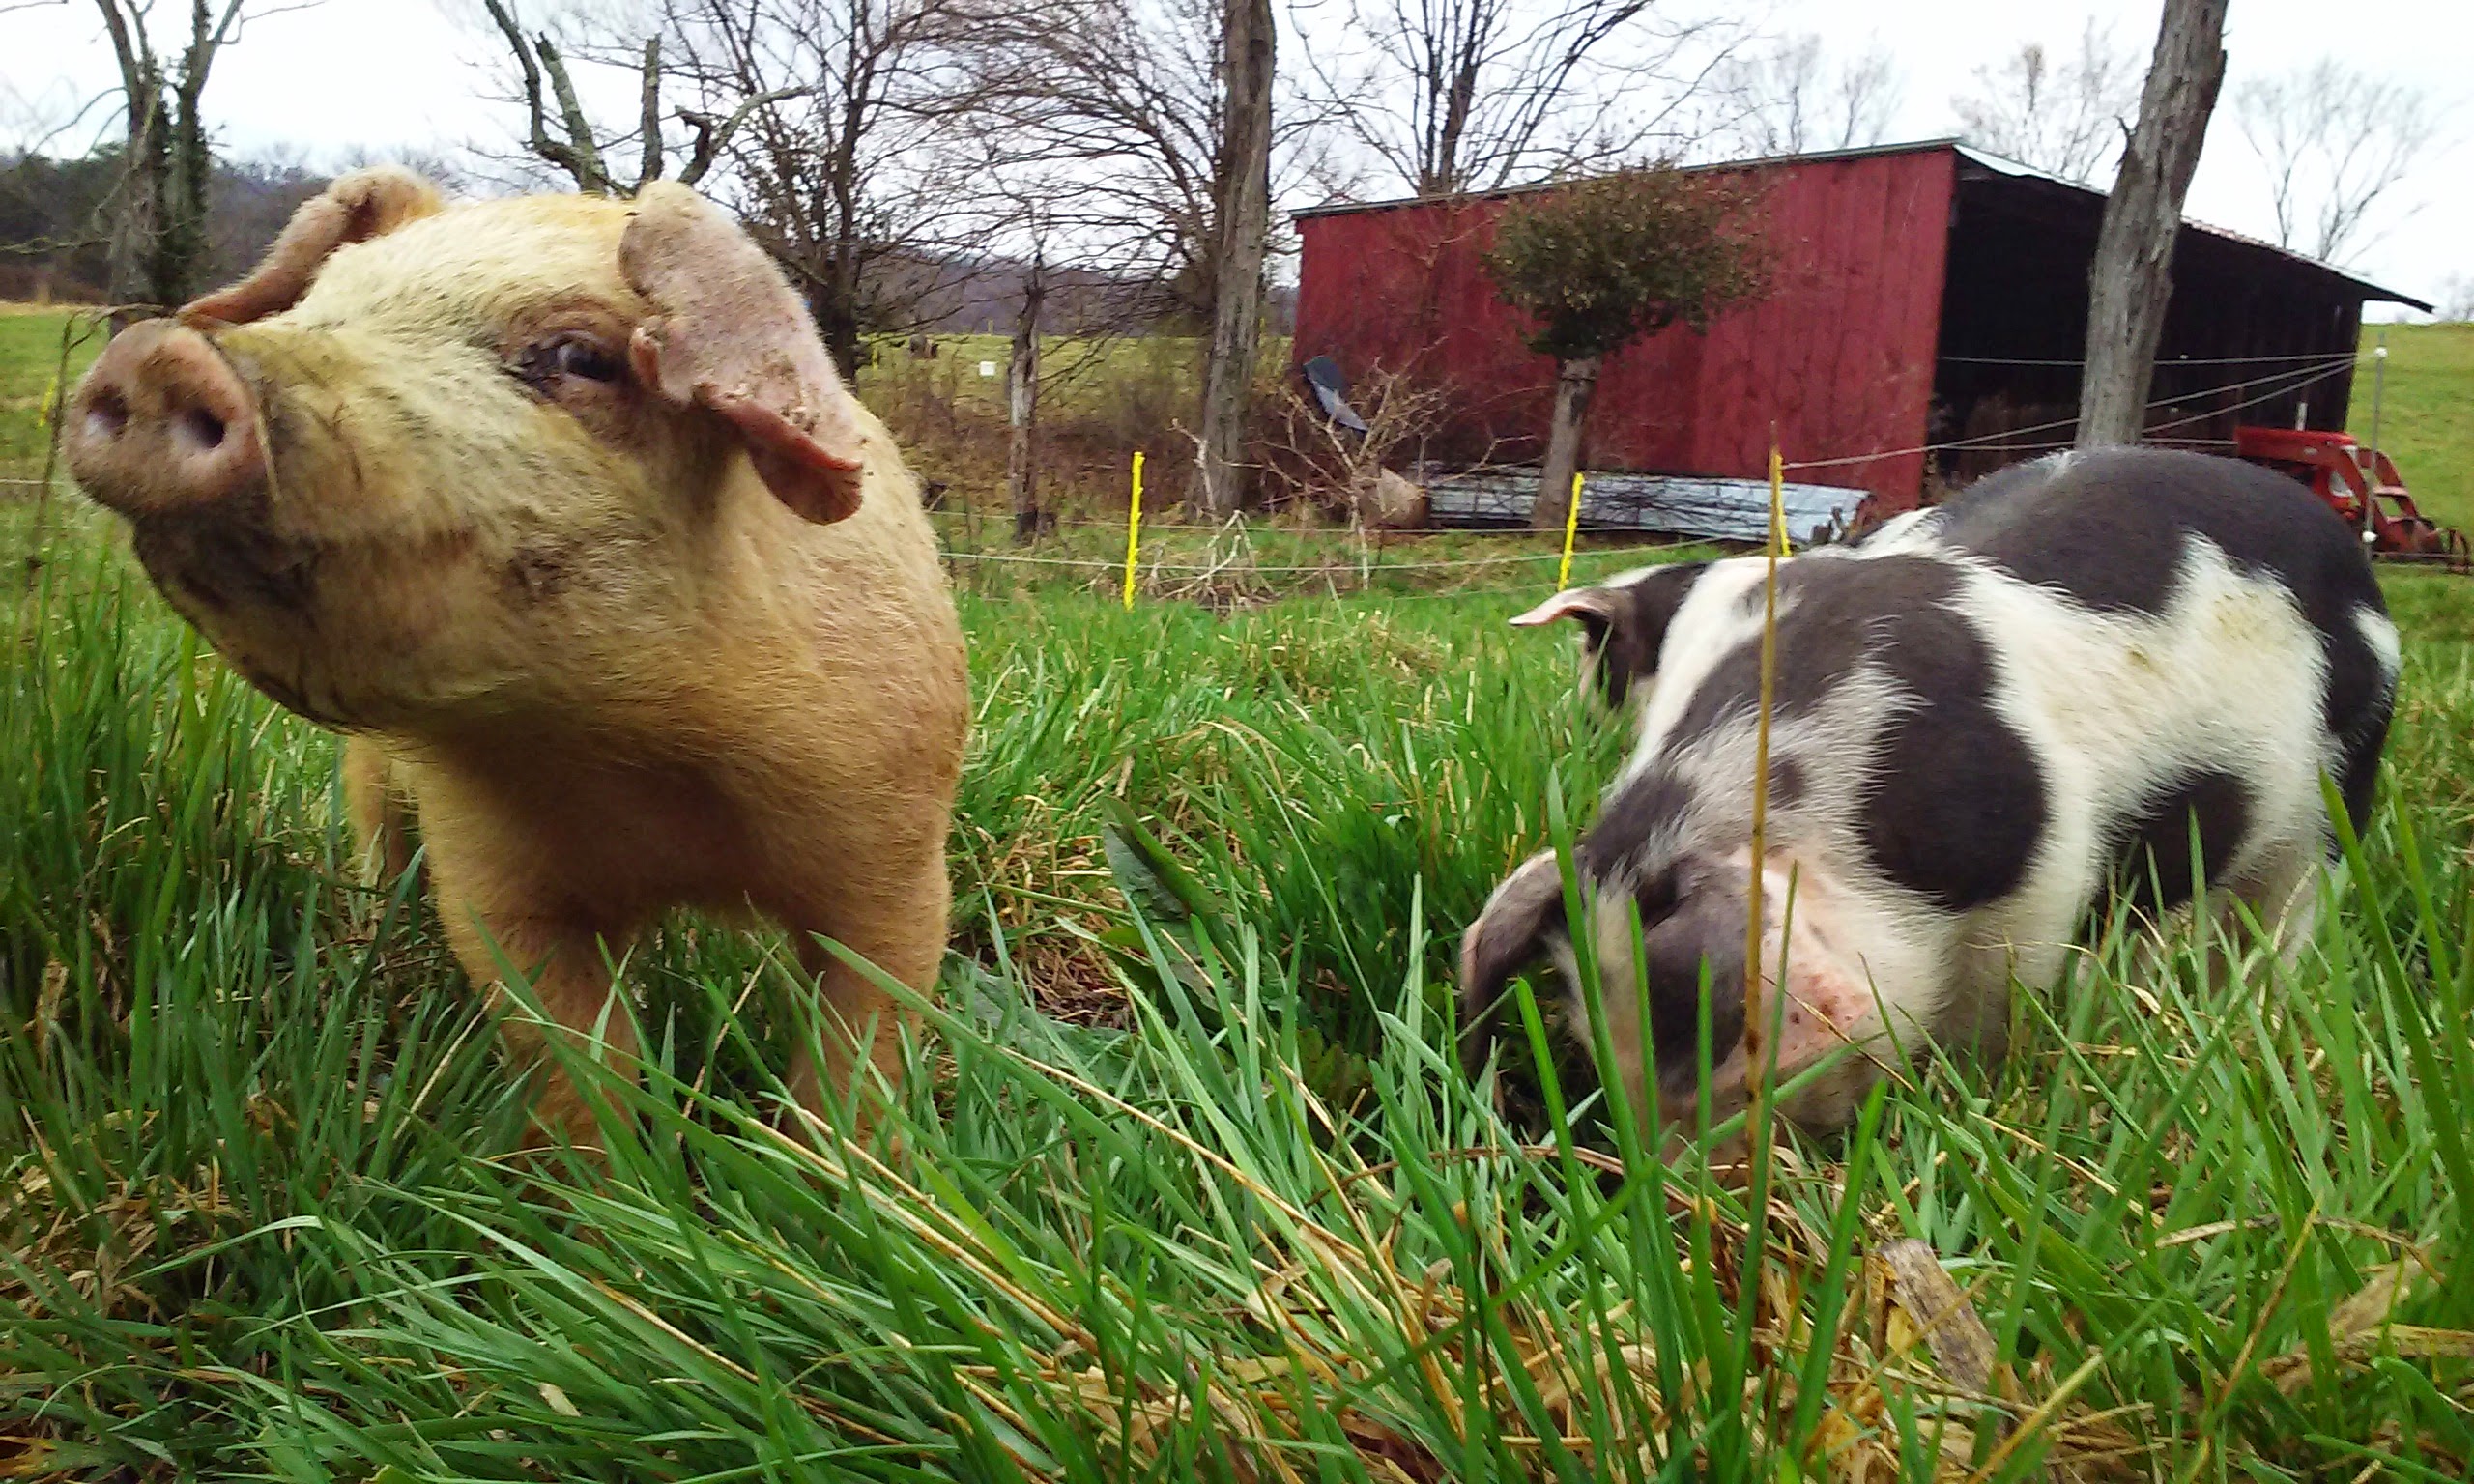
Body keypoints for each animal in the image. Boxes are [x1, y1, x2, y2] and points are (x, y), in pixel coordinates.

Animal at [62, 167, 969, 1147]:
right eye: (318, 306)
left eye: (580, 356)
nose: (157, 358)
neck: (650, 768)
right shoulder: (490, 873)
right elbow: (571, 1057)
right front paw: (601, 1181)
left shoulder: (898, 854)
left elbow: (859, 1057)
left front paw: (841, 1175)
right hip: (370, 780)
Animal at [1463, 447, 2399, 1142]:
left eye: (1730, 1077)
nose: (1705, 1182)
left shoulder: (2044, 880)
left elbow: (1999, 1009)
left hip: (2335, 803)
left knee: (2282, 917)